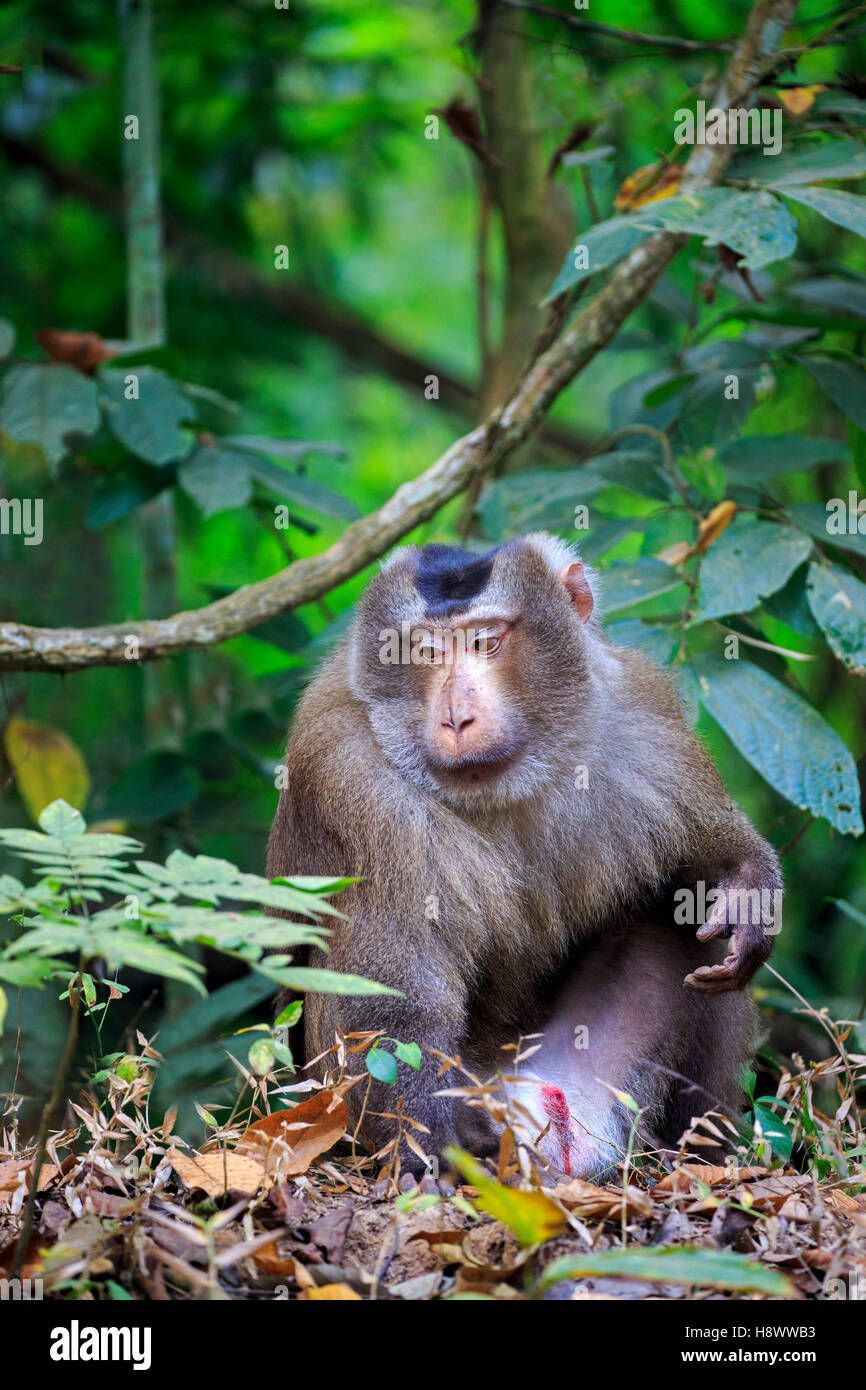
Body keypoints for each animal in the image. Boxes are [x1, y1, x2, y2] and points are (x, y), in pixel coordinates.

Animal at [267, 532, 781, 1178]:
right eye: (426, 651)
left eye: (487, 641)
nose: (456, 717)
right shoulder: (350, 778)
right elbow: (388, 1004)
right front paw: (434, 1148)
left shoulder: (640, 712)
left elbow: (699, 858)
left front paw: (749, 886)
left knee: (676, 922)